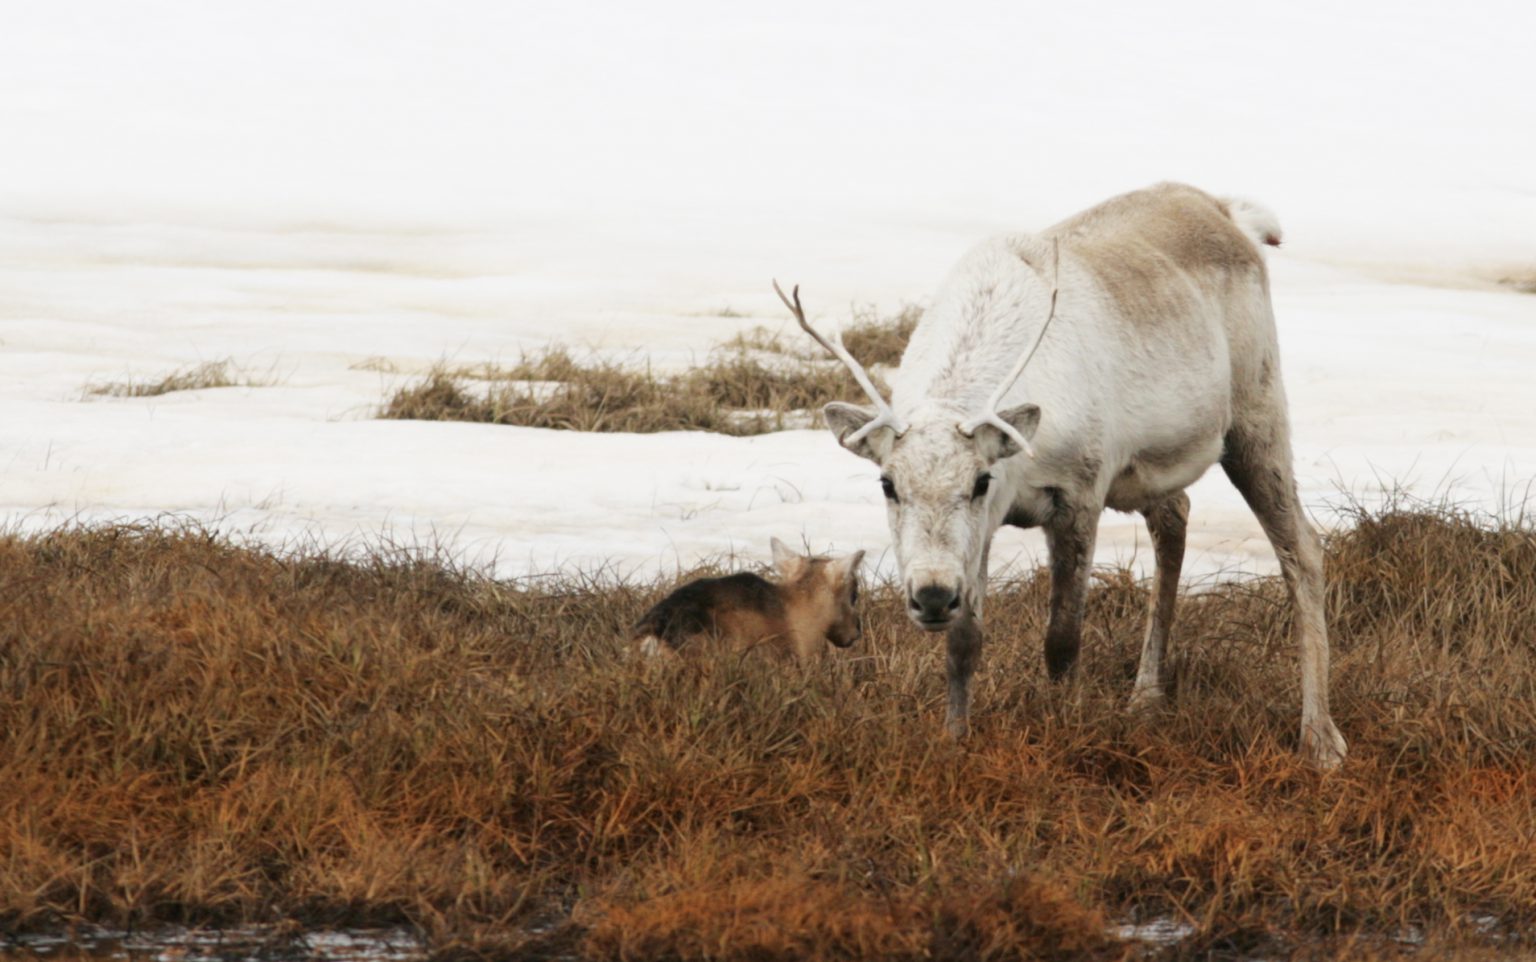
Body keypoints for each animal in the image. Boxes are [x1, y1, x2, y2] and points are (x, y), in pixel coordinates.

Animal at [777, 182, 1346, 769]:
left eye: (981, 480)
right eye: (888, 484)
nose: (931, 595)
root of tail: (1233, 214)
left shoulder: (1079, 494)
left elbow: (1063, 640)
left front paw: (1061, 729)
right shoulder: (986, 532)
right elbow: (964, 643)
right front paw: (955, 738)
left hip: (1257, 414)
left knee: (1302, 550)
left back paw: (1320, 738)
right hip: (1156, 466)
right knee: (1175, 519)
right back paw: (1146, 695)